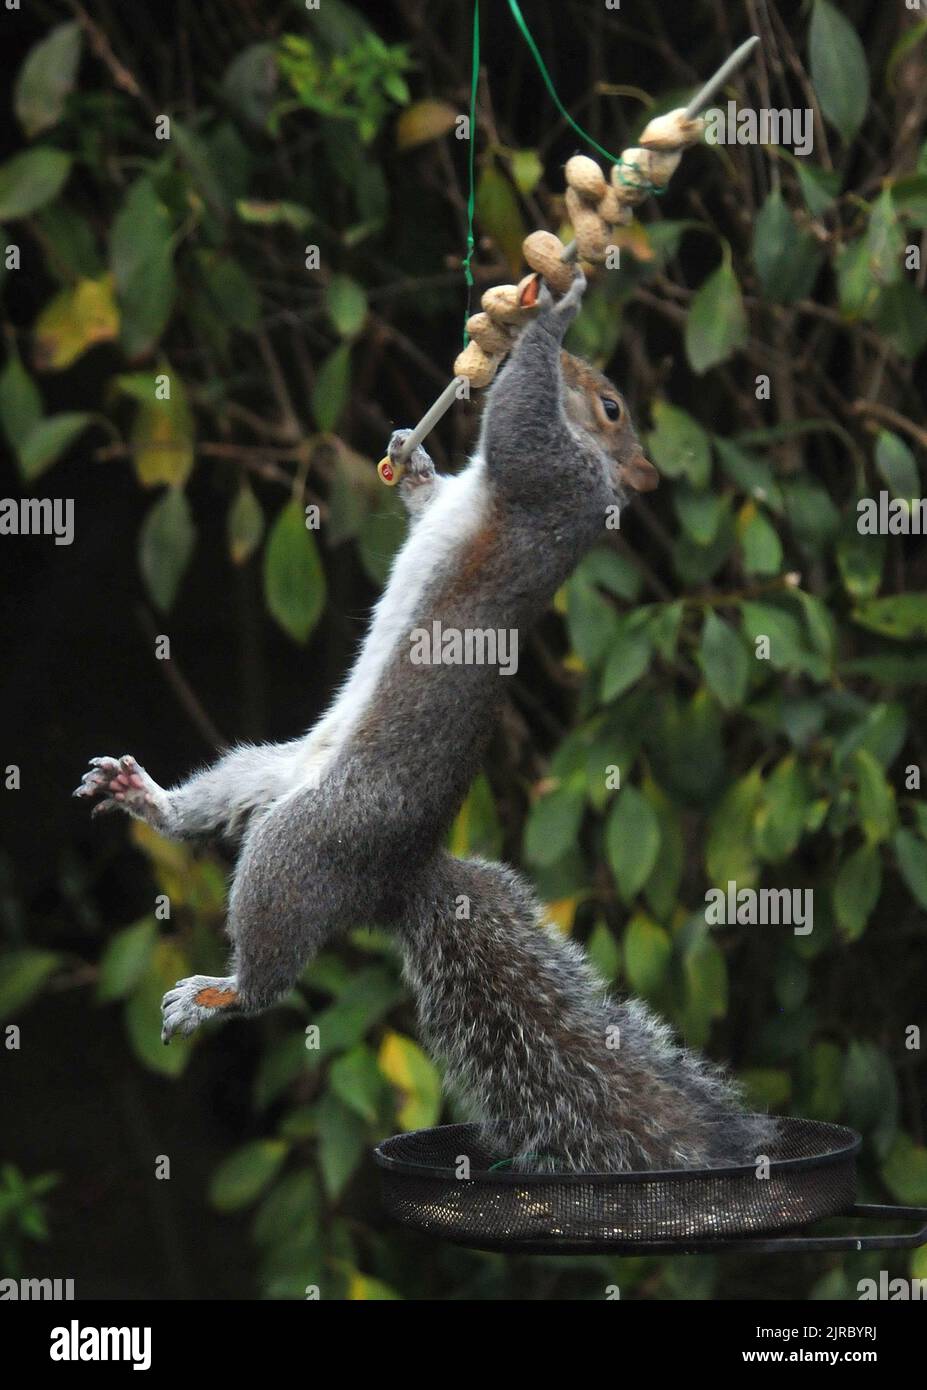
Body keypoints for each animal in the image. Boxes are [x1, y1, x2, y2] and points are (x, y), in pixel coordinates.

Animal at [75, 271, 774, 1172]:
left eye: (612, 406)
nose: (580, 369)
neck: (599, 477)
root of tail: (402, 874)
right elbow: (434, 490)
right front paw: (413, 451)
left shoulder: (548, 477)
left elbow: (517, 416)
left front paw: (550, 315)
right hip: (266, 772)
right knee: (203, 810)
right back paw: (146, 799)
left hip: (302, 844)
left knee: (269, 975)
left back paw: (219, 994)